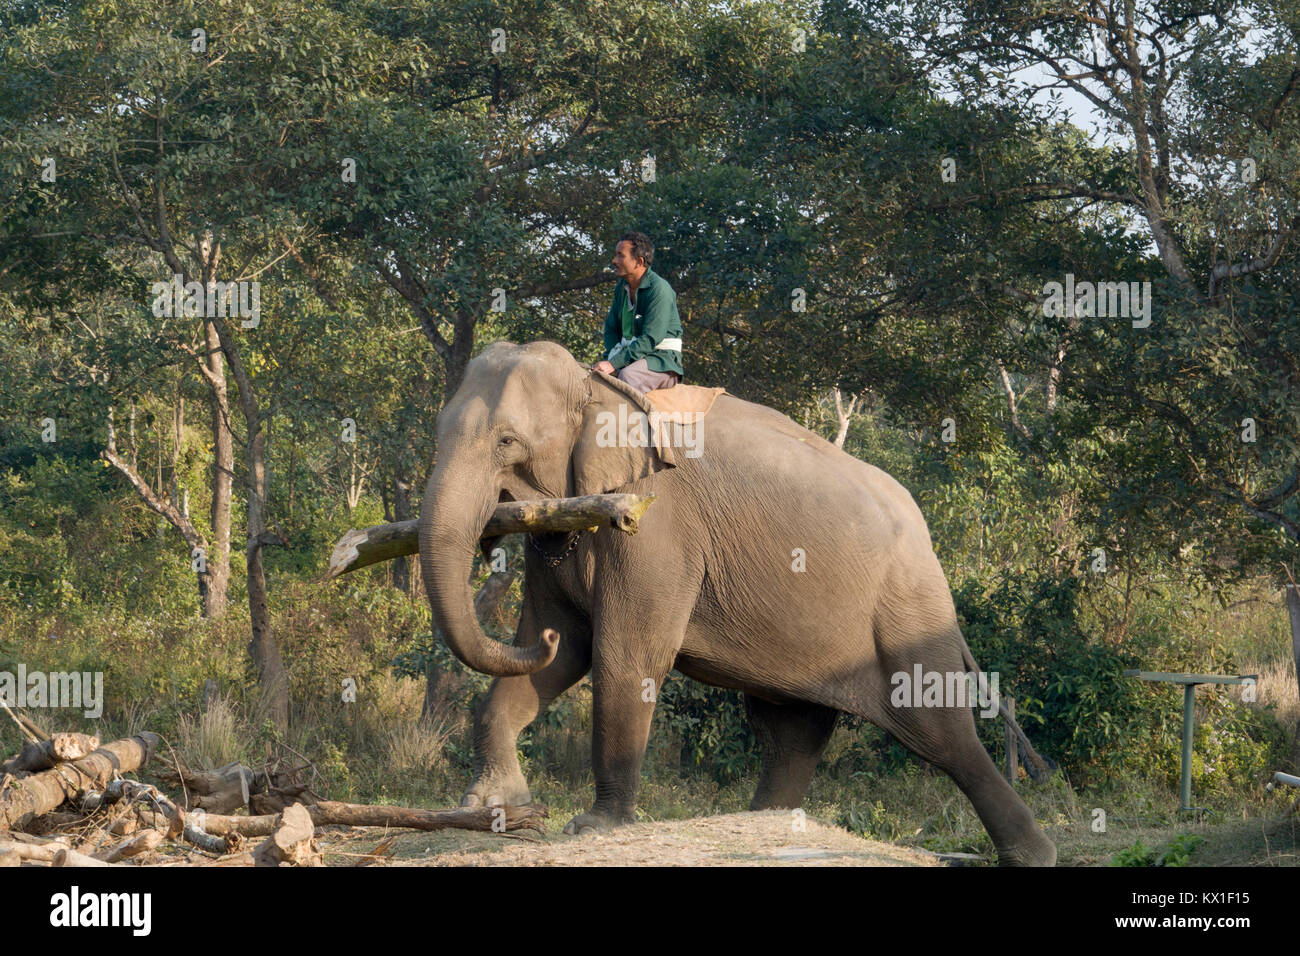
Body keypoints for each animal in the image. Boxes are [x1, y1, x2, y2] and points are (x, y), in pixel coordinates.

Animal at [417, 339, 1057, 866]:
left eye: (506, 441)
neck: (593, 387)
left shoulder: (656, 525)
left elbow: (625, 656)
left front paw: (595, 827)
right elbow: (560, 649)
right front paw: (490, 804)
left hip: (909, 609)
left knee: (941, 730)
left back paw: (1034, 855)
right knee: (791, 731)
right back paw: (769, 824)